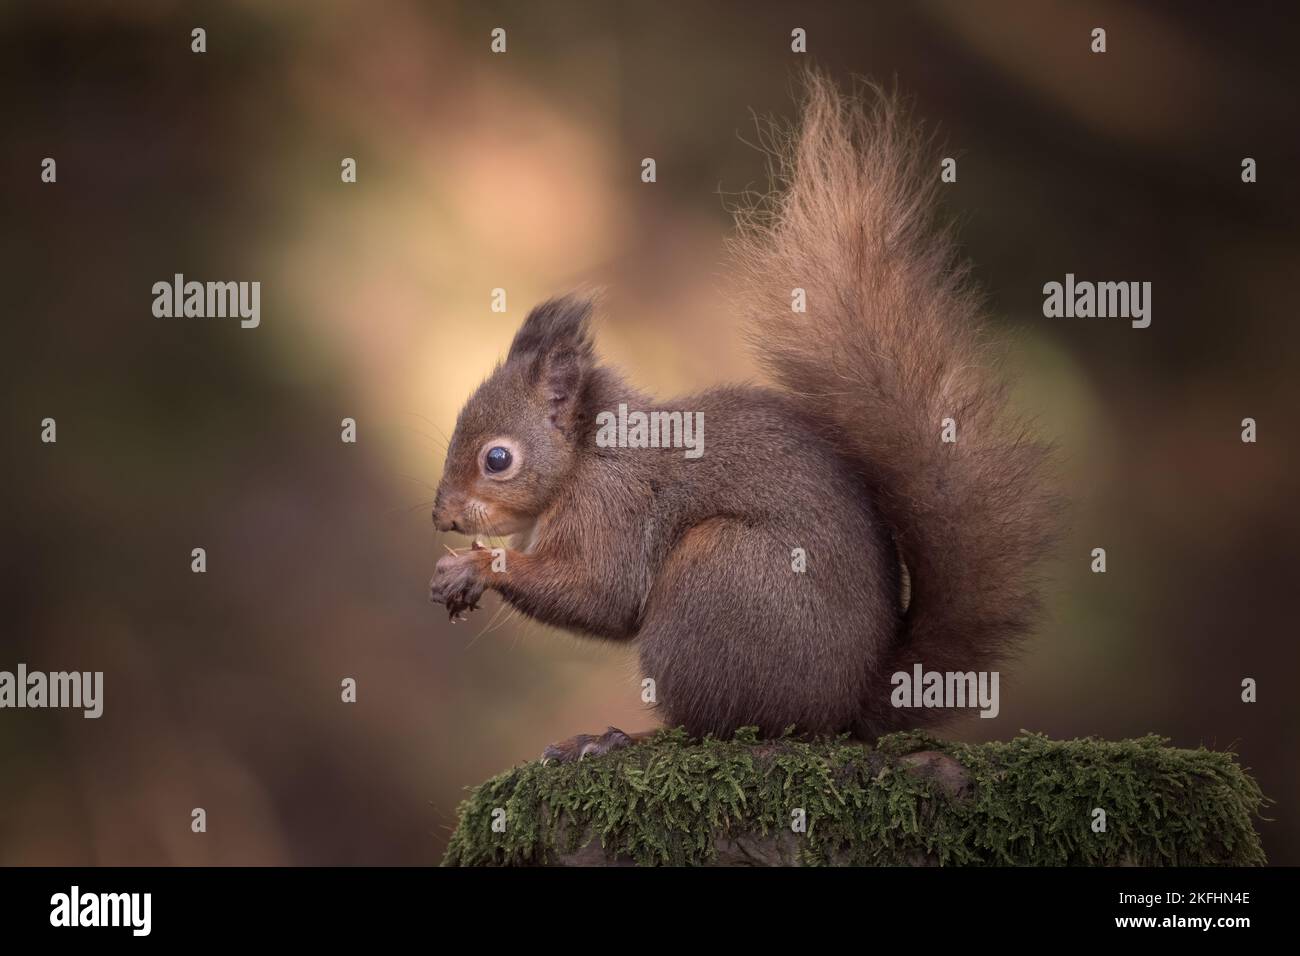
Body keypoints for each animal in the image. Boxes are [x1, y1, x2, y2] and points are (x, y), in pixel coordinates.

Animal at [429, 72, 1059, 763]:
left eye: (497, 458)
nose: (442, 517)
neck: (587, 454)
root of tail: (841, 709)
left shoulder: (614, 506)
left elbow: (599, 593)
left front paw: (476, 566)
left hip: (720, 579)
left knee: (714, 725)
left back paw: (618, 738)